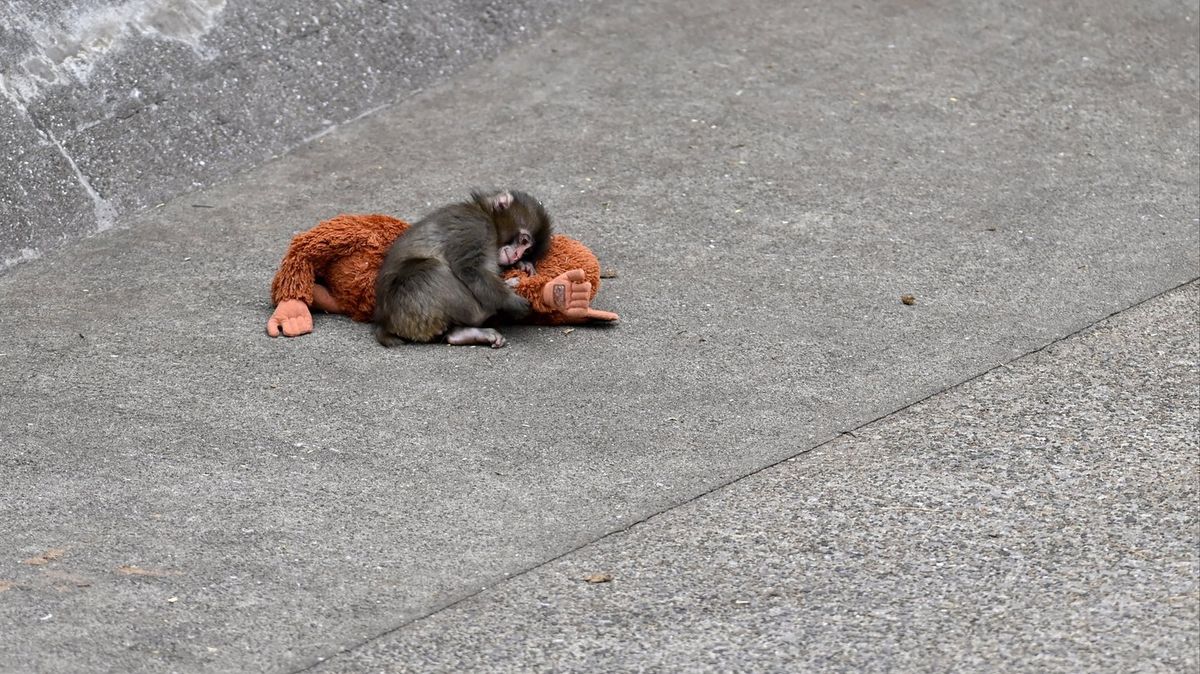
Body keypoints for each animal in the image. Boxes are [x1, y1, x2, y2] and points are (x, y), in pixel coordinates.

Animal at [373, 190, 553, 348]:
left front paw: (524, 265)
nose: (517, 256)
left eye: (527, 251)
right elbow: (470, 269)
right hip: (408, 305)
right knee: (432, 269)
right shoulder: (475, 226)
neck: (486, 215)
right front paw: (511, 301)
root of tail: (386, 323)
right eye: (524, 241)